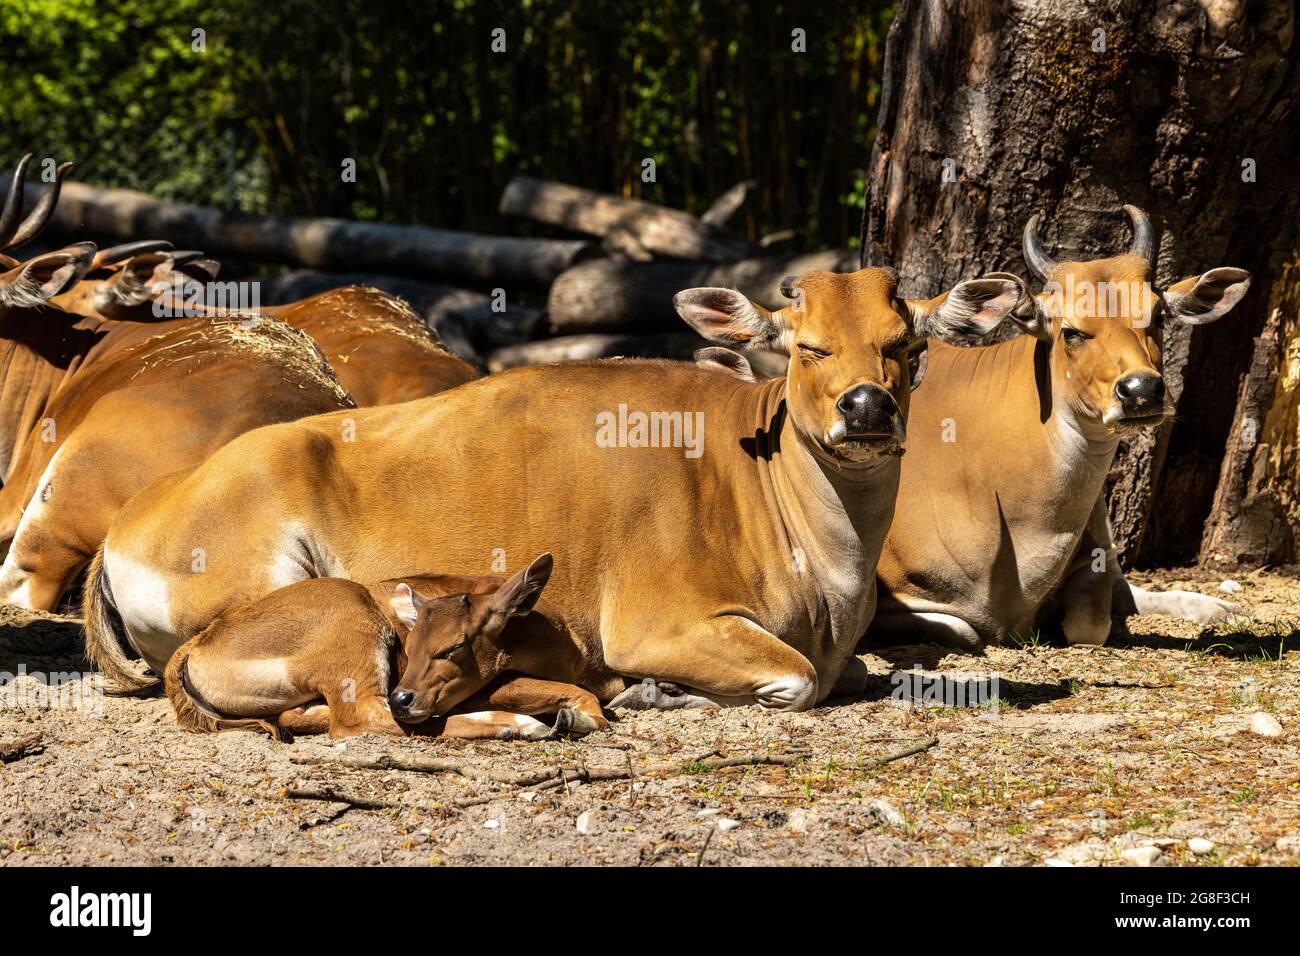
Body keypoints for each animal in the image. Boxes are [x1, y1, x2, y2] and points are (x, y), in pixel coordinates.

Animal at [85, 266, 1025, 702]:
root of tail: (126, 528)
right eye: (806, 347)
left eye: (907, 346)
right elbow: (794, 677)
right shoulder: (662, 622)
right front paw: (657, 691)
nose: (866, 407)